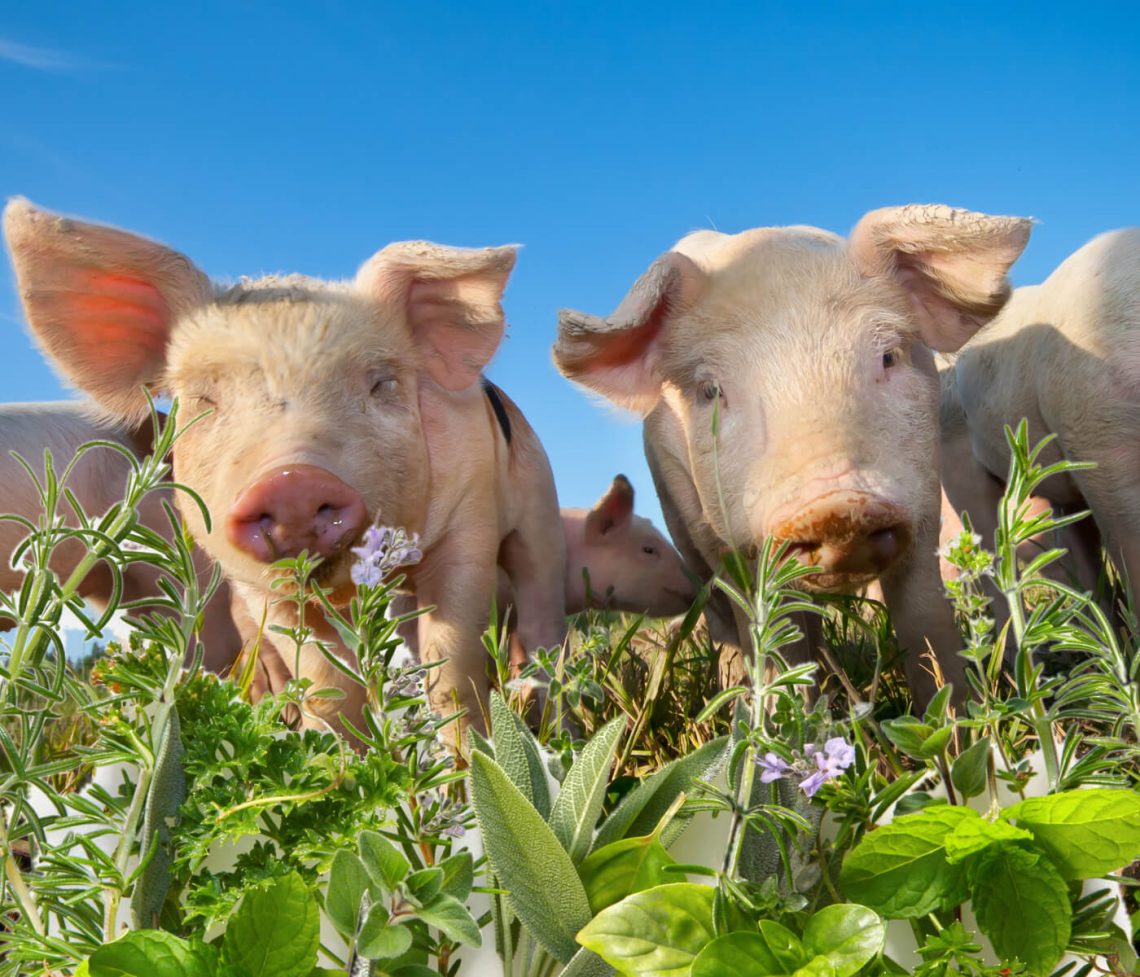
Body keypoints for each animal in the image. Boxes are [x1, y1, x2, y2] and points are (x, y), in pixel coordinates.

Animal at [554, 205, 1033, 709]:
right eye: (710, 391)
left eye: (888, 356)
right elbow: (768, 632)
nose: (836, 509)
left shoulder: (923, 498)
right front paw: (779, 716)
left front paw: (955, 716)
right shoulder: (721, 539)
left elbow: (925, 618)